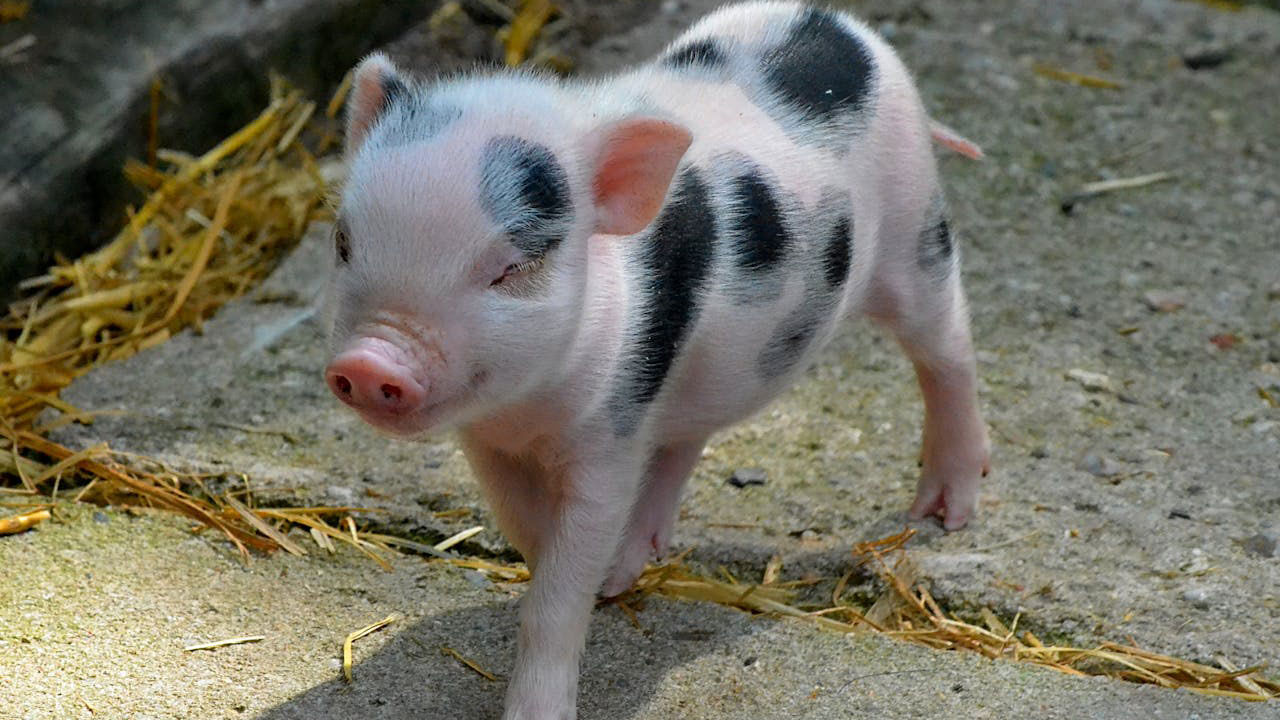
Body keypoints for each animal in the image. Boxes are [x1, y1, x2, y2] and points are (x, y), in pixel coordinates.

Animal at [324, 2, 990, 718]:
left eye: (511, 268)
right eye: (343, 242)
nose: (370, 362)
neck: (529, 409)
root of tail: (838, 24)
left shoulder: (610, 436)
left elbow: (560, 584)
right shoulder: (491, 441)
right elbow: (529, 532)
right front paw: (602, 577)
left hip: (914, 227)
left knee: (948, 346)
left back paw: (943, 513)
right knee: (686, 436)